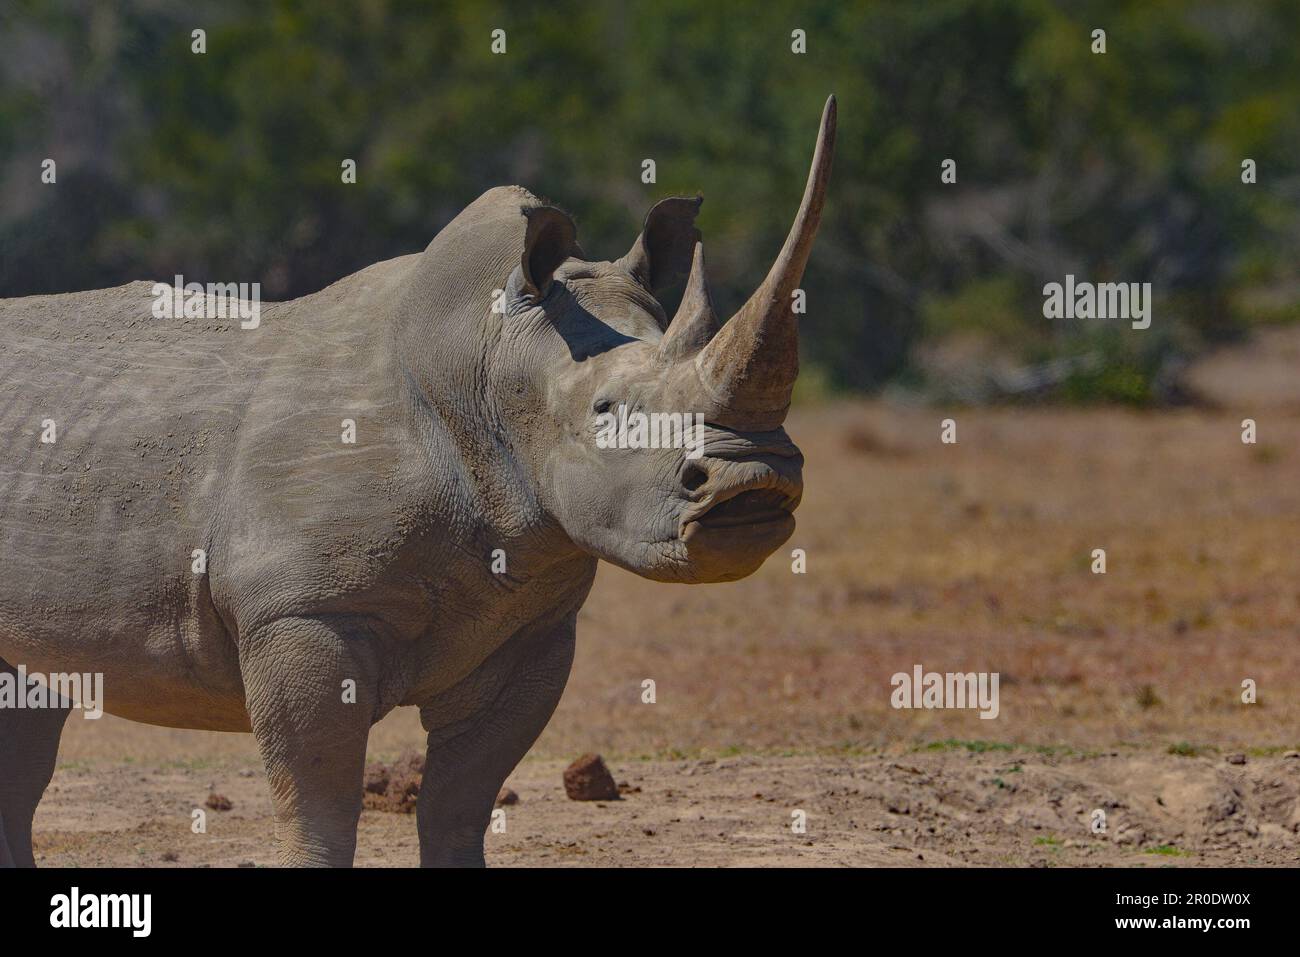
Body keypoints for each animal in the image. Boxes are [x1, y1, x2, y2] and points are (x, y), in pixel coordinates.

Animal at [0, 97, 836, 867]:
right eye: (608, 410)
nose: (755, 478)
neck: (488, 365)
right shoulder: (305, 609)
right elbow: (320, 805)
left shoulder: (531, 623)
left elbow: (461, 799)